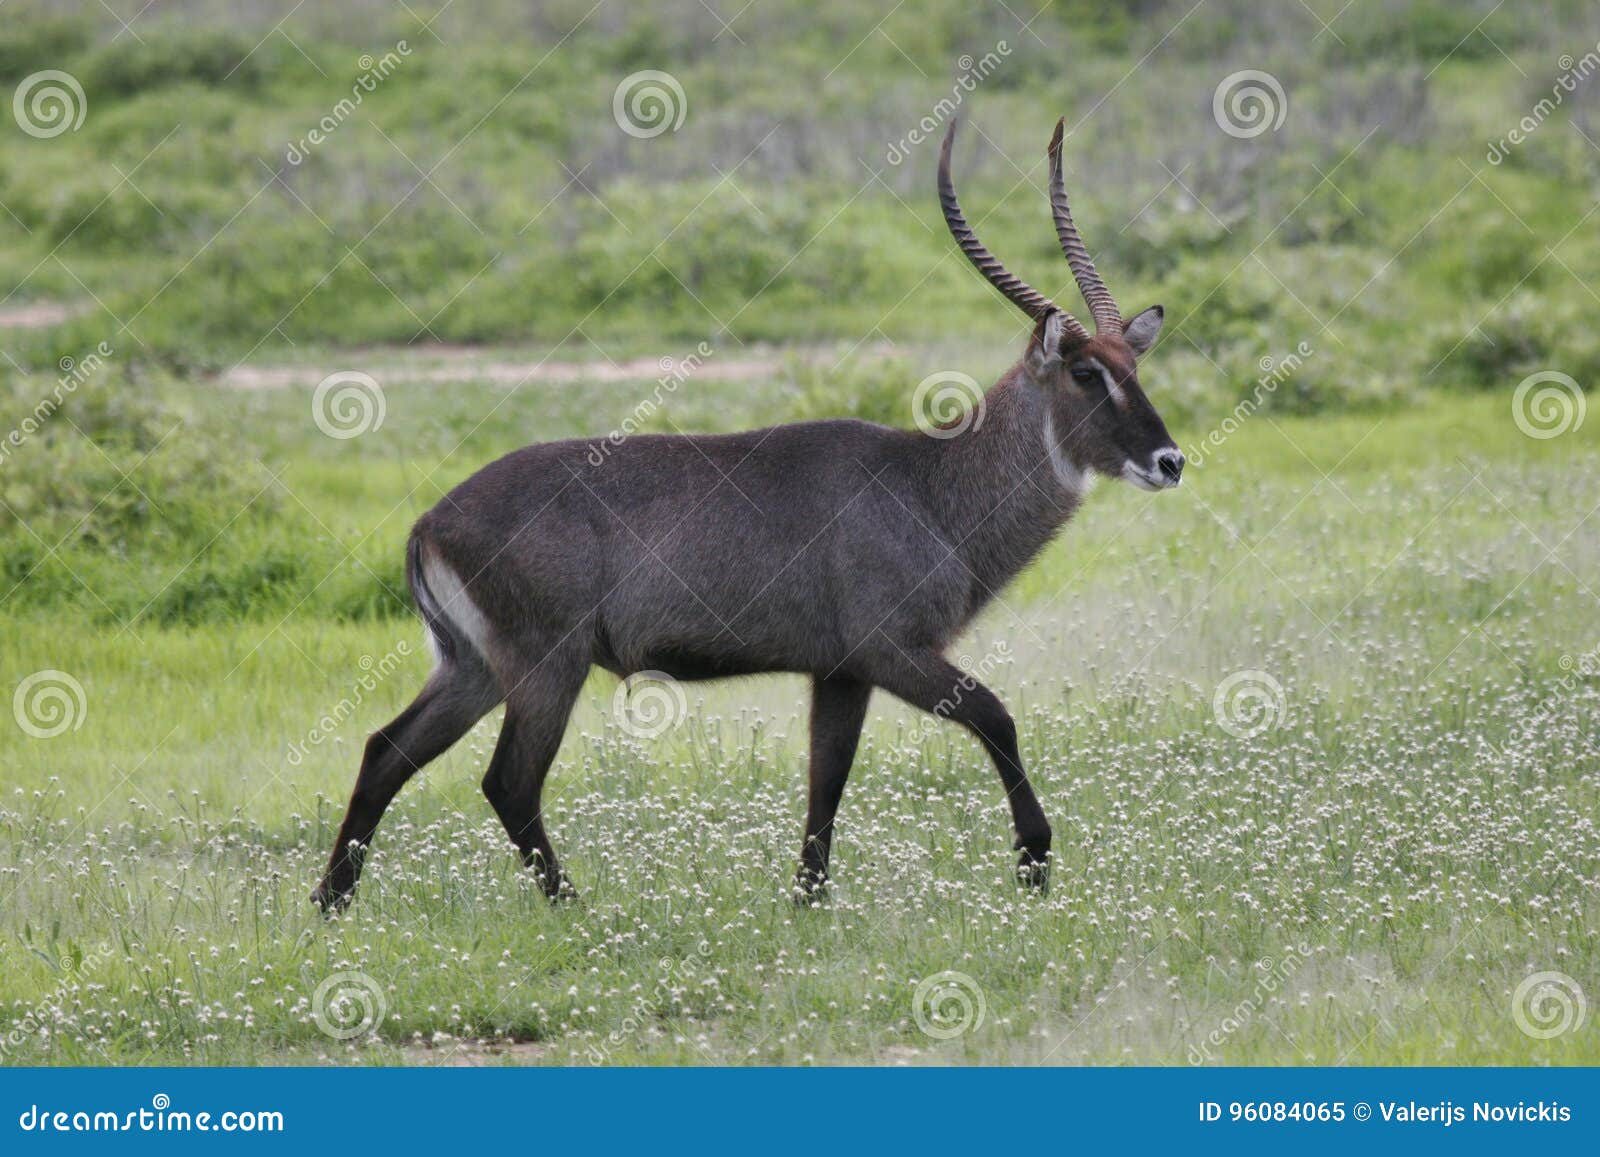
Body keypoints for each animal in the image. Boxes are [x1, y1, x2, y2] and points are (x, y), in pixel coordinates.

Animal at [313, 117, 1183, 912]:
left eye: (1134, 367)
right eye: (1084, 372)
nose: (1170, 461)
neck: (931, 486)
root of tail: (429, 523)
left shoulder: (840, 669)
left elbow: (827, 779)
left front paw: (808, 898)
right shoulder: (894, 649)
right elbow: (996, 717)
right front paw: (1034, 862)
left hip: (472, 665)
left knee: (386, 752)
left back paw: (331, 904)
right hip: (544, 663)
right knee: (508, 780)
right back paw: (572, 905)